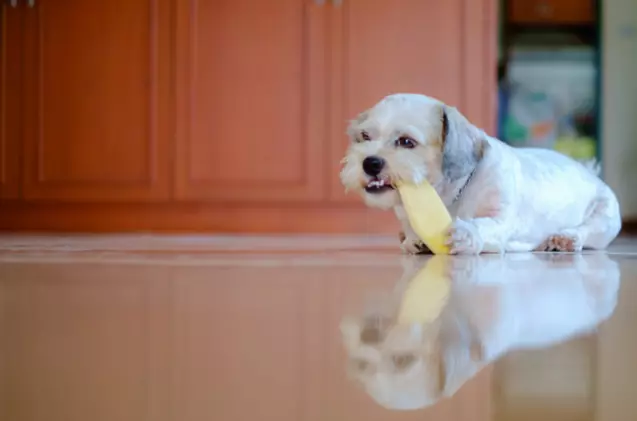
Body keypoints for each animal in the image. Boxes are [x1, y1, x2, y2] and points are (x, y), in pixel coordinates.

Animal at [340, 93, 620, 254]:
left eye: (407, 142)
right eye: (365, 136)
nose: (370, 163)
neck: (449, 195)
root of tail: (590, 172)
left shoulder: (500, 218)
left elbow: (484, 225)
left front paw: (465, 234)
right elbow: (410, 230)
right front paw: (412, 238)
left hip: (604, 219)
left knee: (587, 232)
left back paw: (566, 238)